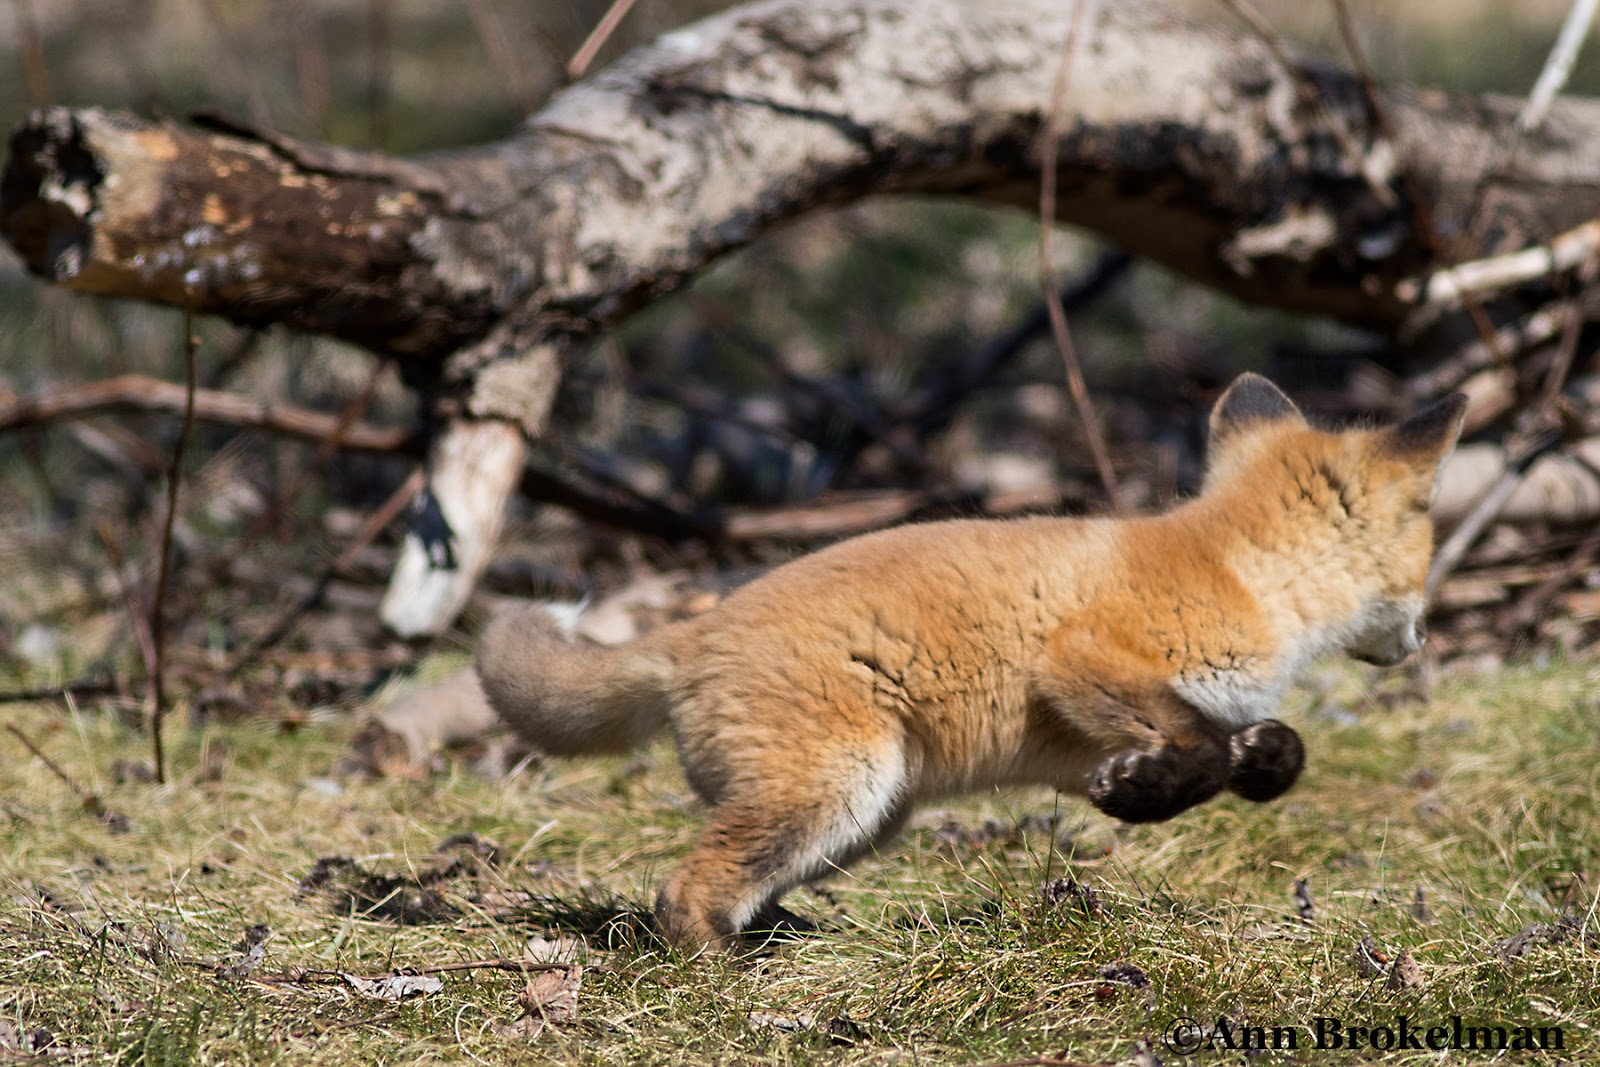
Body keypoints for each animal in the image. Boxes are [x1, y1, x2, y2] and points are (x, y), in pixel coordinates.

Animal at [477, 374, 1467, 949]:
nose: (1424, 641)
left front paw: (1241, 767)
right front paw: (1144, 795)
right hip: (836, 786)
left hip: (867, 814)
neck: (1244, 573)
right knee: (680, 891)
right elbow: (1197, 749)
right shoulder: (1080, 662)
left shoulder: (1082, 740)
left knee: (740, 883)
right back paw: (726, 971)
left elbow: (1263, 748)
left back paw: (786, 938)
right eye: (1428, 550)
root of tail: (692, 631)